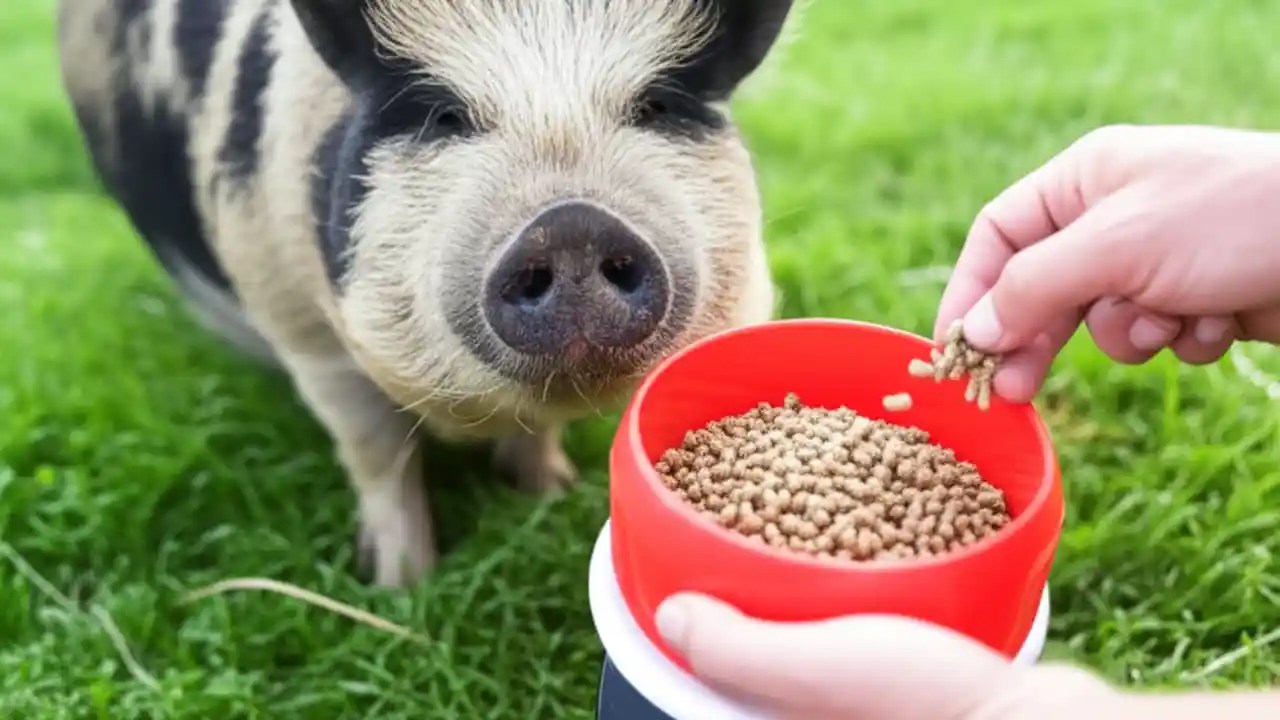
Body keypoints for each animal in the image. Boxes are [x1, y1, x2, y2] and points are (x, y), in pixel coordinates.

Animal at [56, 0, 791, 587]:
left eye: (653, 105)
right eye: (445, 115)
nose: (572, 224)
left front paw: (552, 496)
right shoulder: (304, 331)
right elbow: (377, 452)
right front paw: (400, 587)